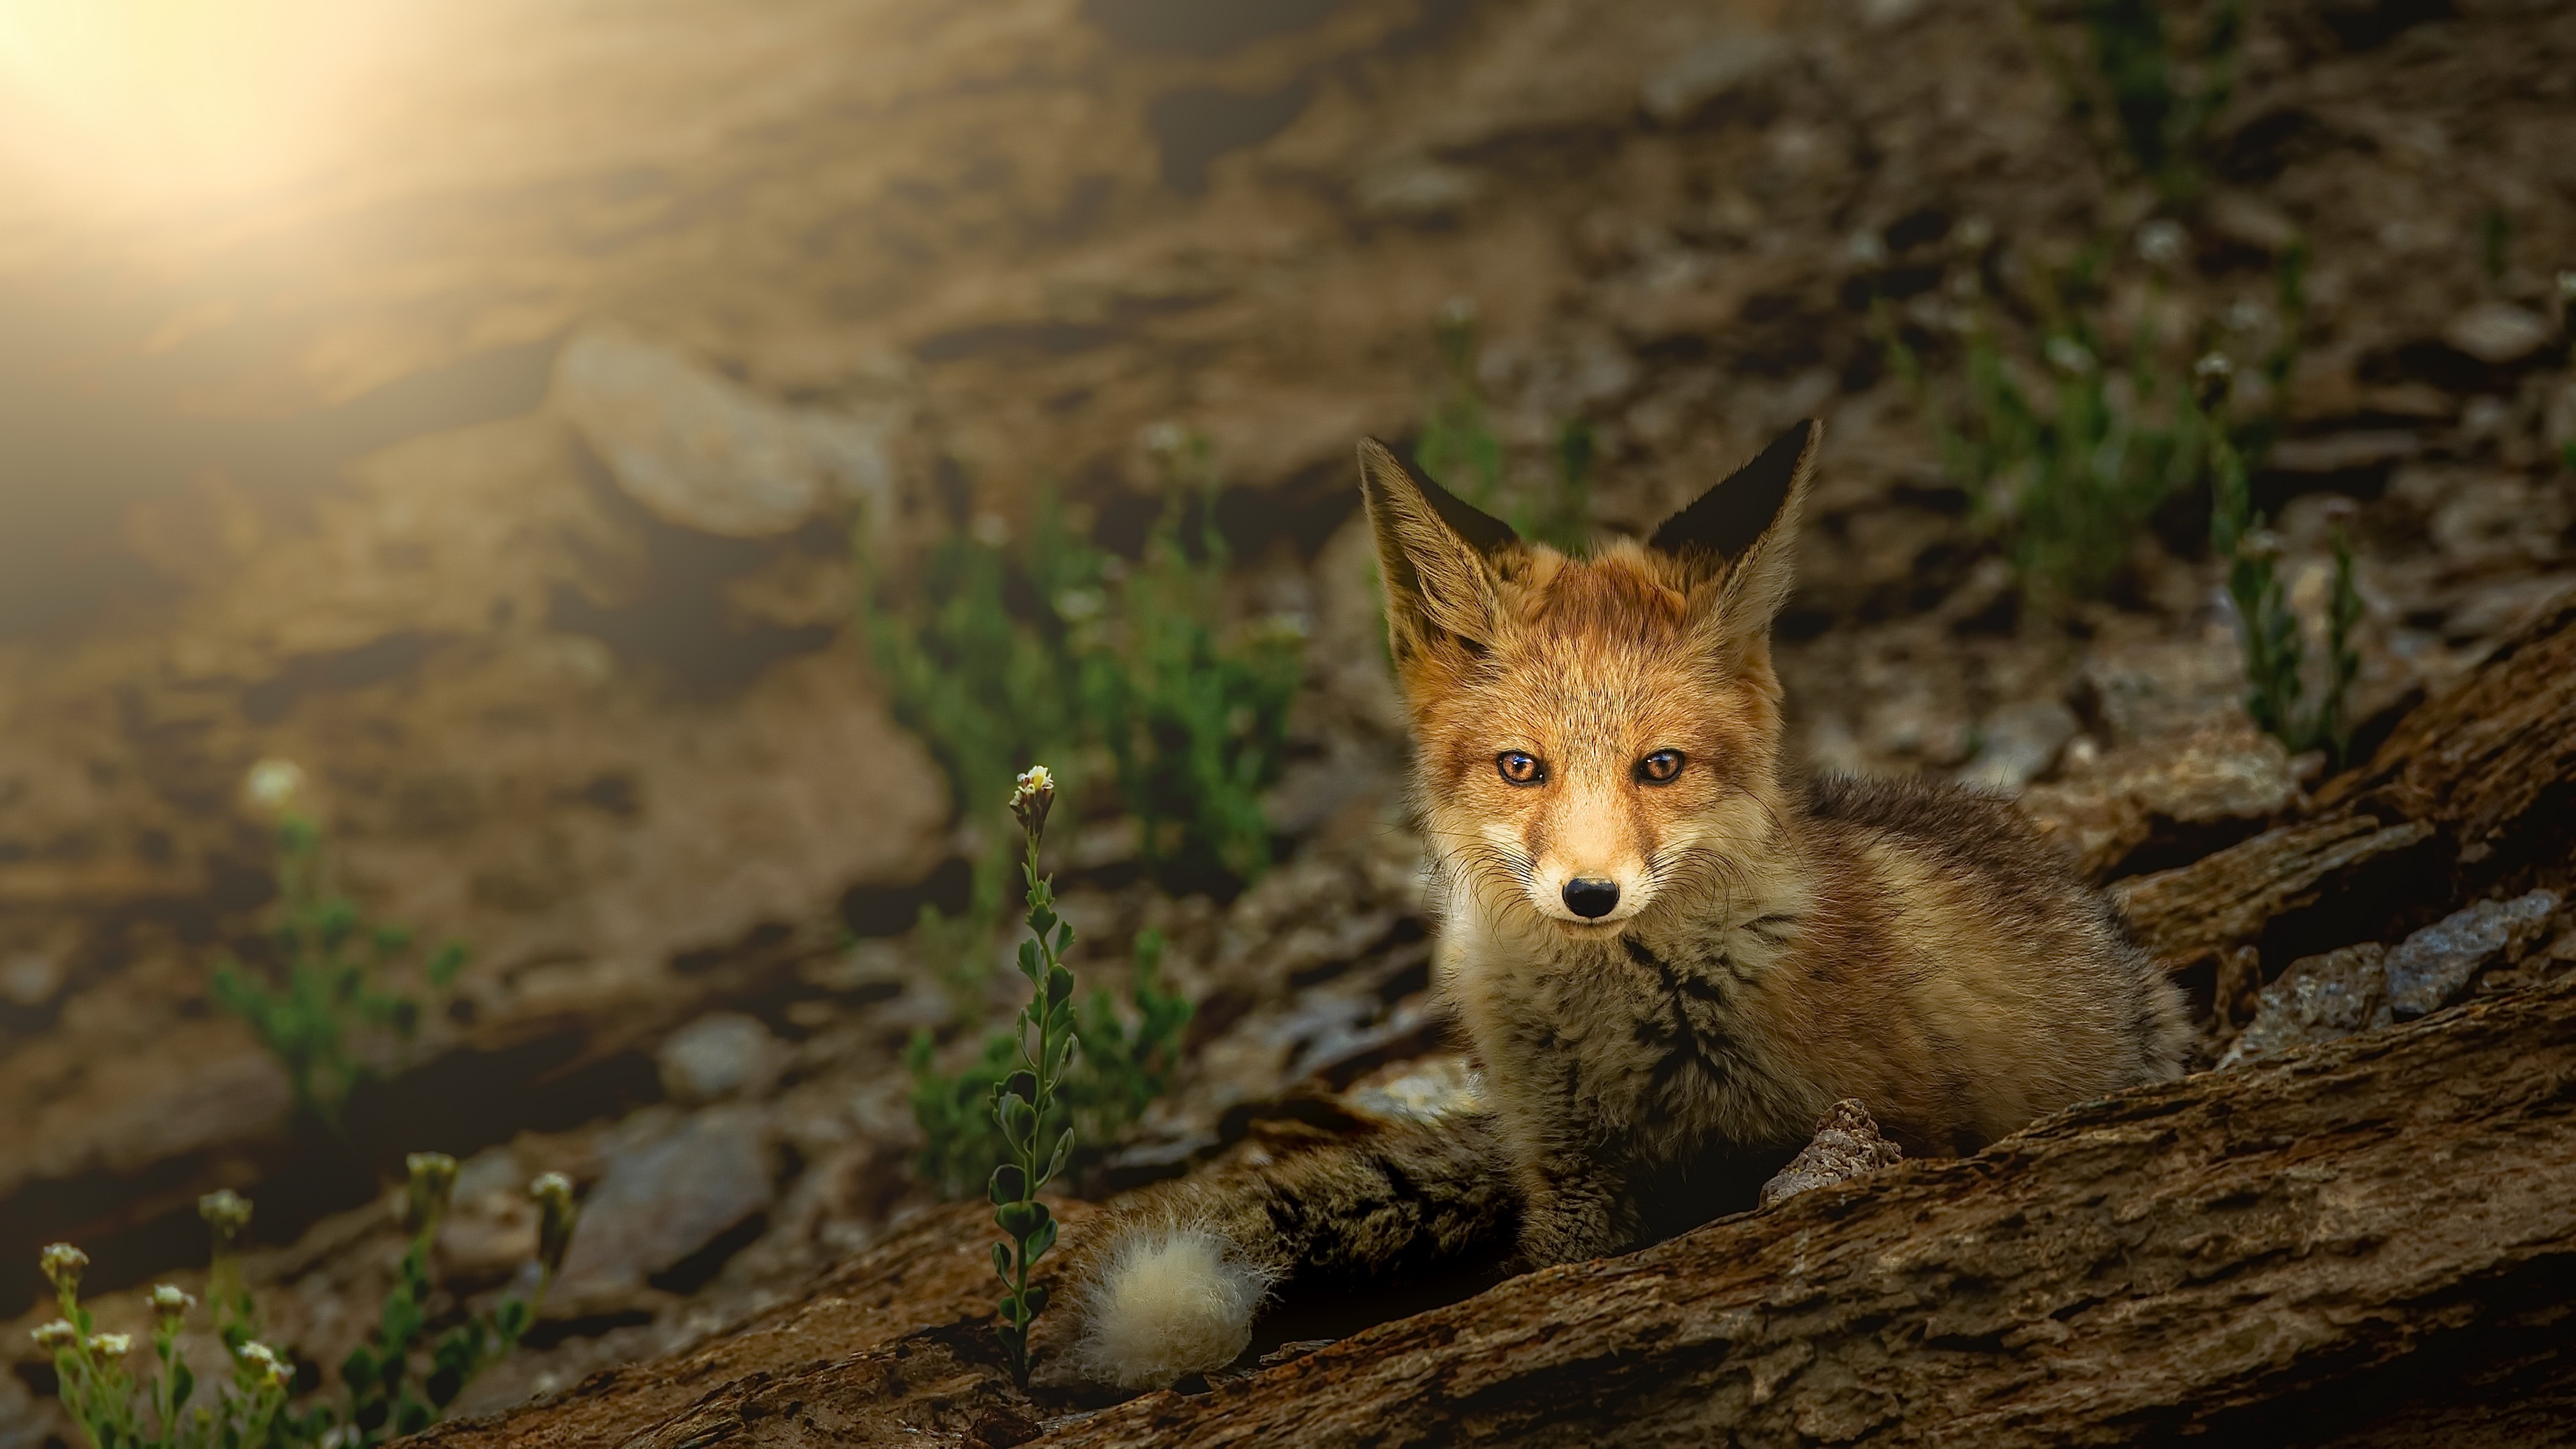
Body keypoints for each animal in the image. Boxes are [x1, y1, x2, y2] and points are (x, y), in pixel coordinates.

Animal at [1062, 419, 2192, 1390]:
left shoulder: (1885, 1129)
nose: (1591, 893)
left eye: (1662, 767)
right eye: (1522, 767)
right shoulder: (1571, 1184)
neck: (1627, 1023)